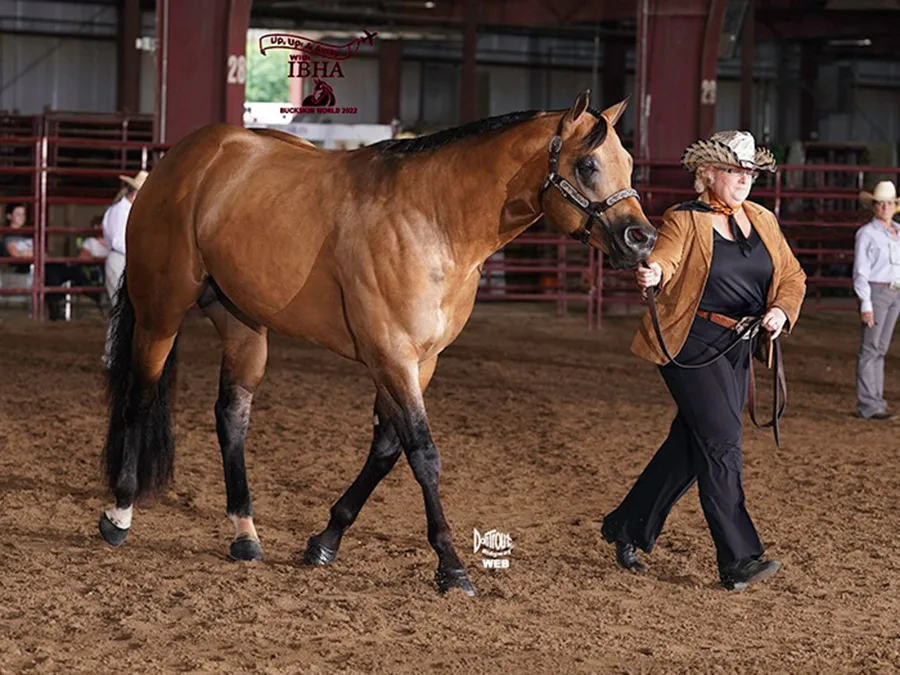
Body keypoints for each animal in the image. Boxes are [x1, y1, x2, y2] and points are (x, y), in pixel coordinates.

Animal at [98, 90, 657, 596]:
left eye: (629, 163)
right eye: (587, 164)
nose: (642, 239)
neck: (432, 219)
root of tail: (182, 158)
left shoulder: (420, 362)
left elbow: (387, 449)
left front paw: (325, 540)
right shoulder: (392, 355)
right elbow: (423, 454)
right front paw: (451, 566)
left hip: (243, 325)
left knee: (232, 416)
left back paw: (244, 534)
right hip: (161, 312)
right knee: (140, 397)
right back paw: (119, 513)